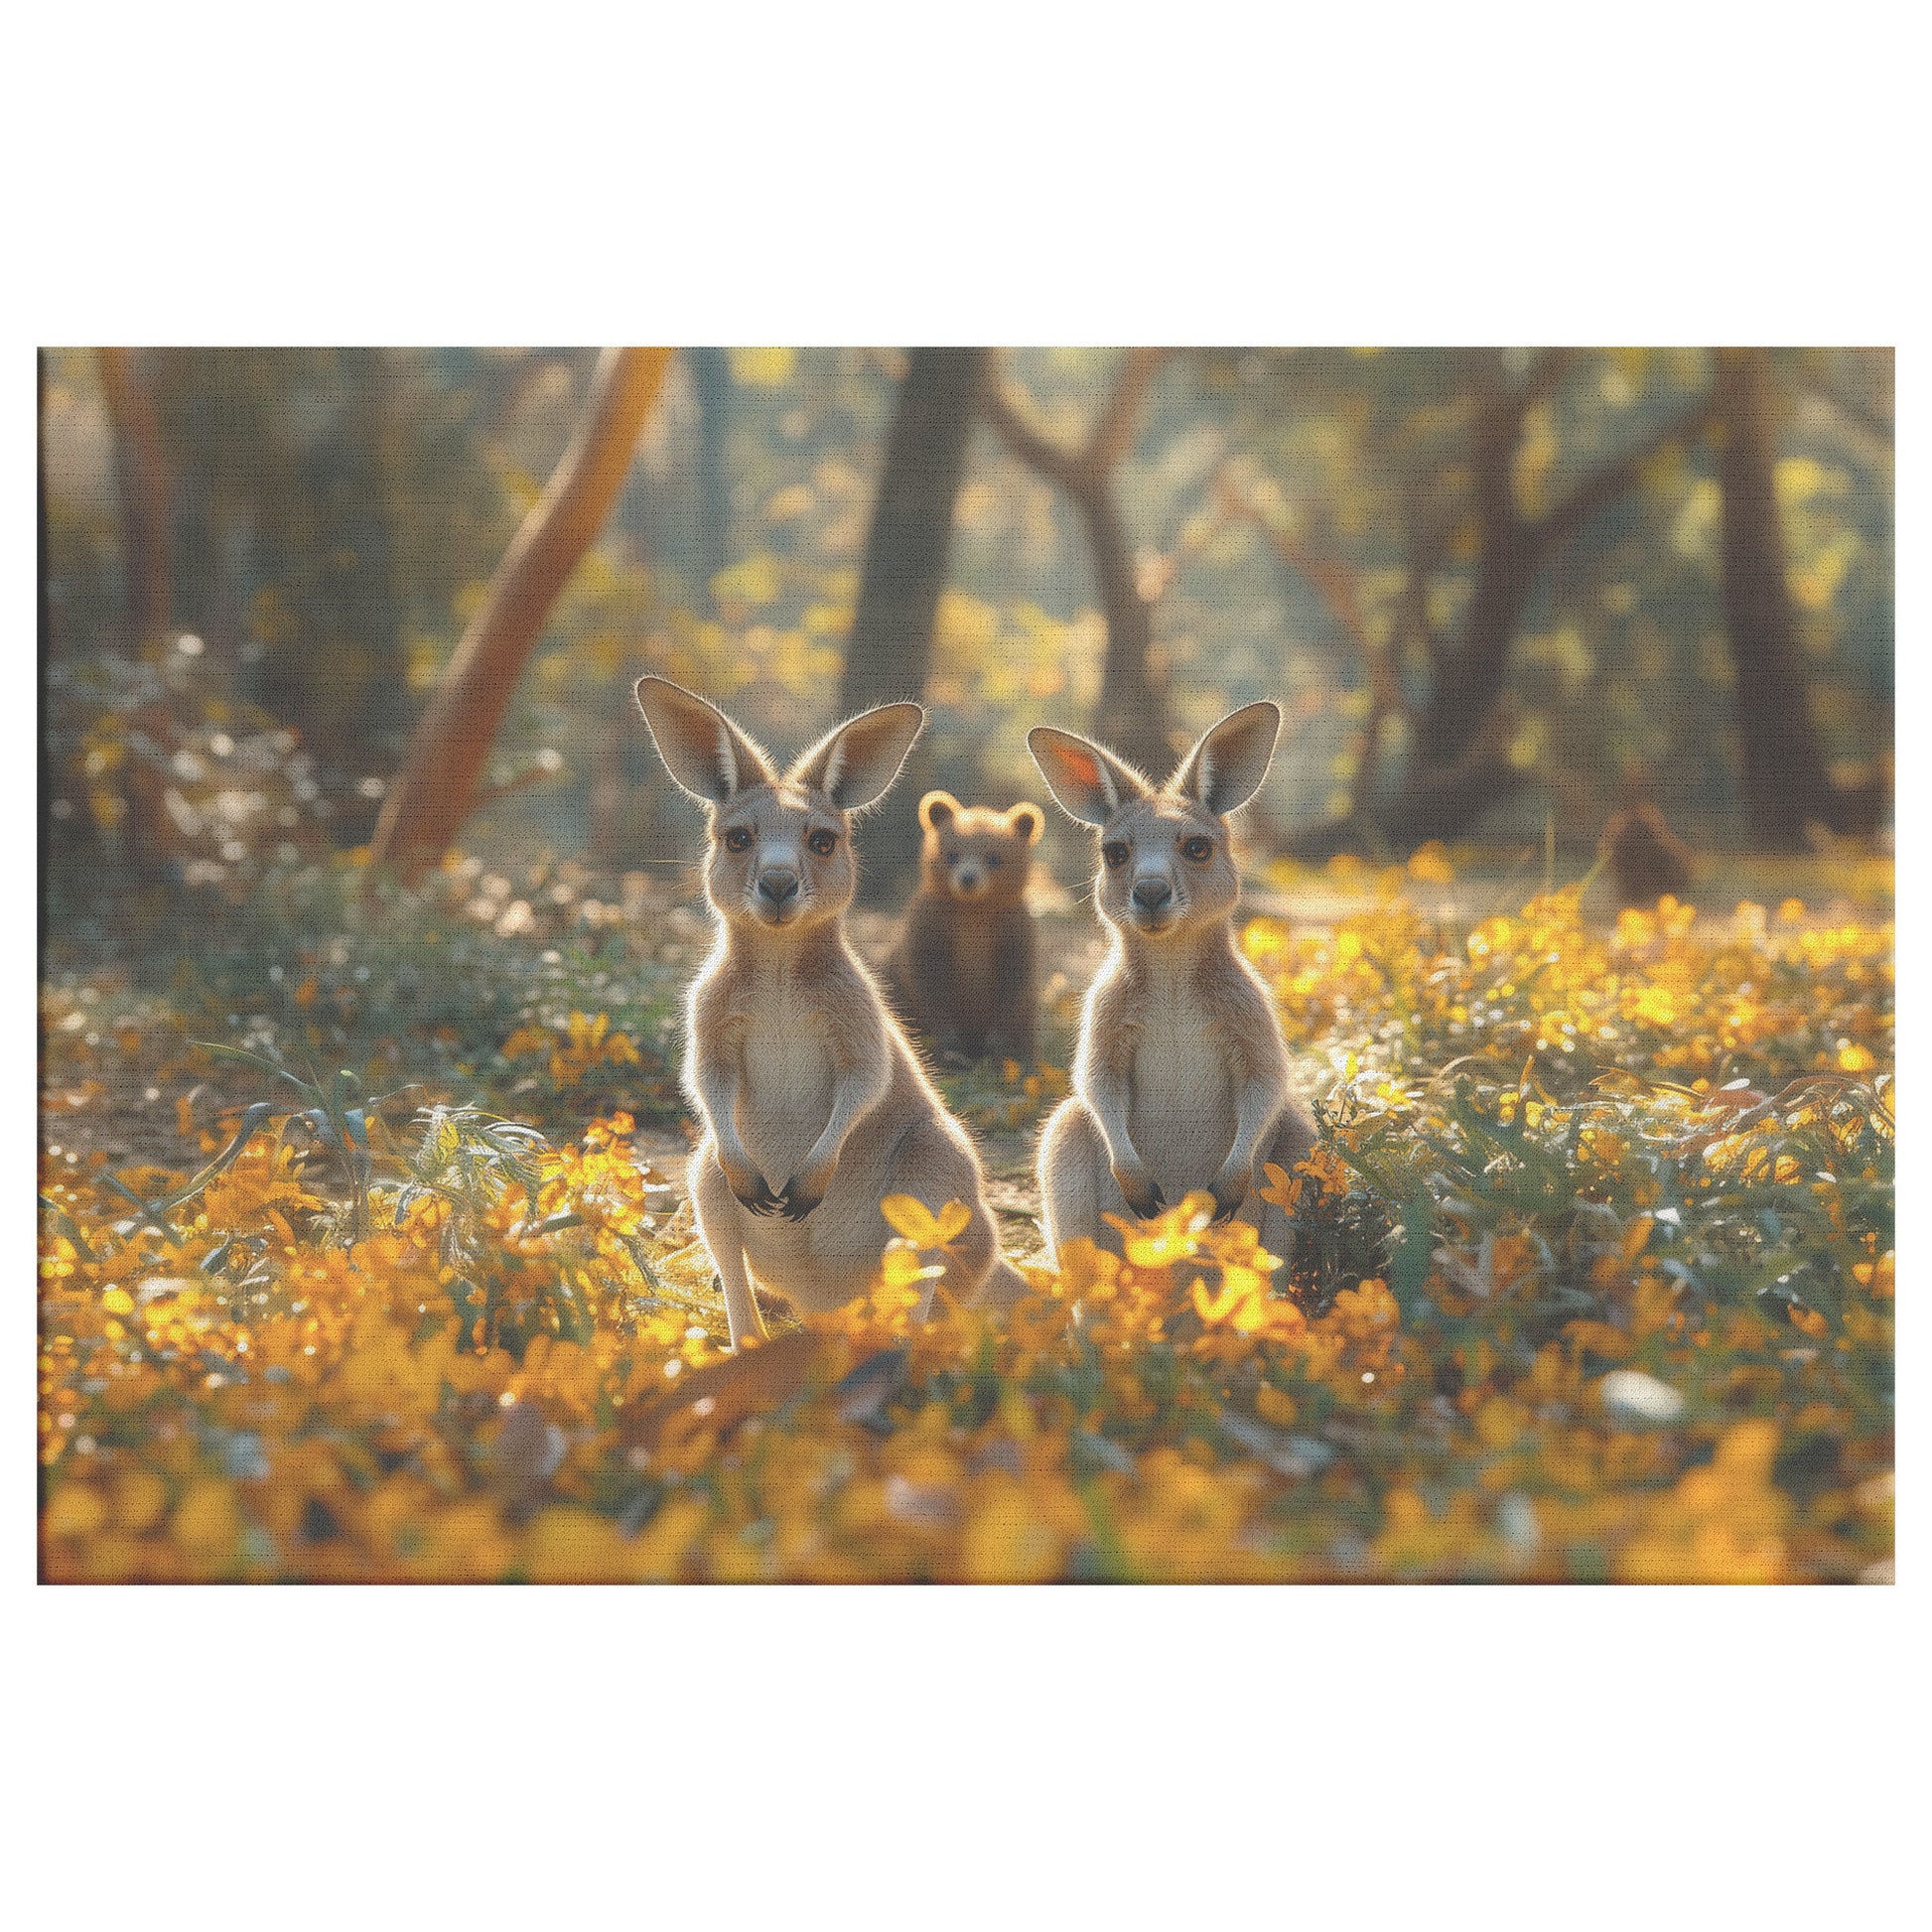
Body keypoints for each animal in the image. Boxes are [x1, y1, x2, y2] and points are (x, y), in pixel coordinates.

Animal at [882, 791, 1042, 1068]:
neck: (972, 912)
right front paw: (949, 1044)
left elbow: (1013, 982)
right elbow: (929, 979)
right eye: (952, 854)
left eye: (993, 858)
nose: (968, 879)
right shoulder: (934, 925)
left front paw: (997, 1044)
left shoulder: (1009, 928)